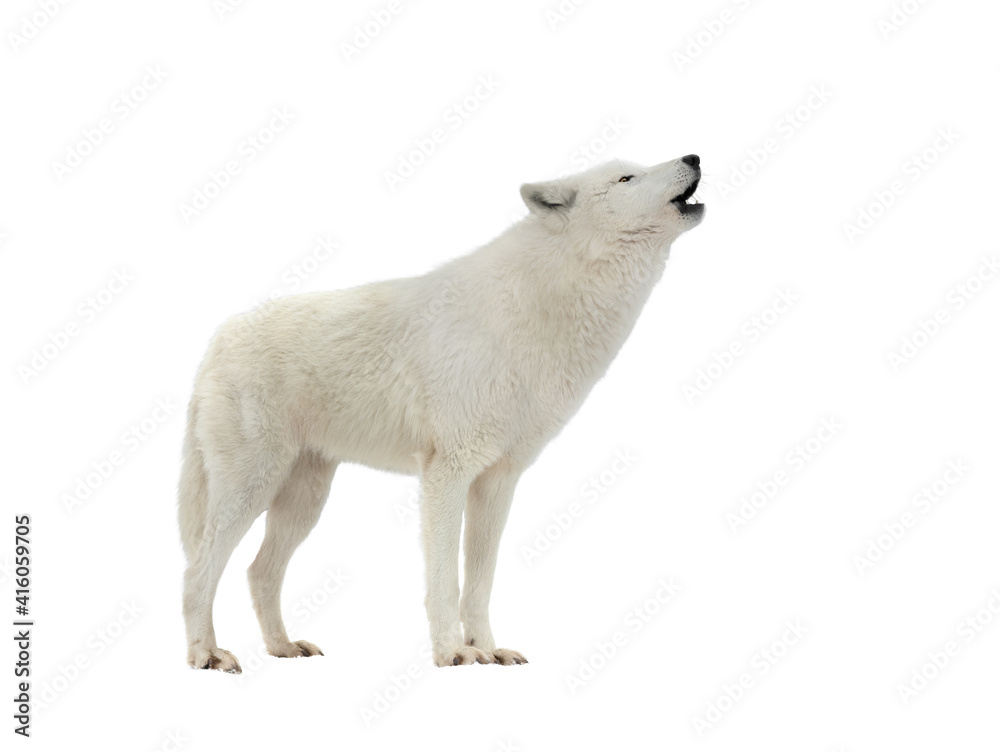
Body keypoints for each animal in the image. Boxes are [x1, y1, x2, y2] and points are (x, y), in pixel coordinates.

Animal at [178, 155, 704, 672]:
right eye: (626, 178)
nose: (694, 156)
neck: (543, 303)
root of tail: (218, 338)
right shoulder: (447, 472)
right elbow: (444, 579)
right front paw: (453, 652)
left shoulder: (498, 480)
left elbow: (480, 582)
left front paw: (490, 648)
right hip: (251, 488)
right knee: (197, 571)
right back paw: (207, 654)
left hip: (304, 500)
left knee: (258, 571)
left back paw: (283, 648)